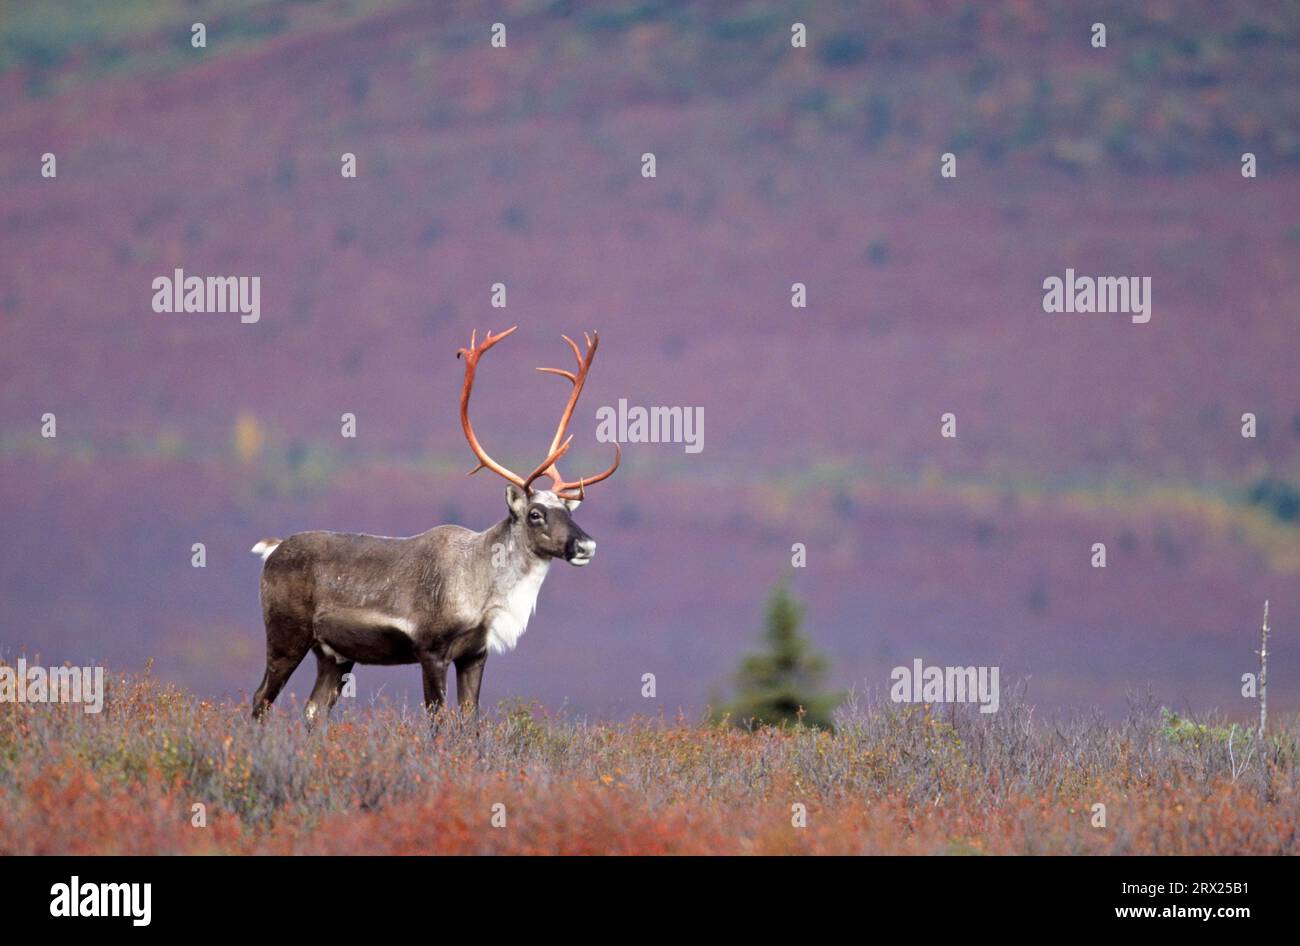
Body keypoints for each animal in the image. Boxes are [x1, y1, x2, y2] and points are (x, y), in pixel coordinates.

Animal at [248, 326, 619, 723]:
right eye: (535, 513)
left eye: (570, 511)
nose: (586, 545)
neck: (483, 585)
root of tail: (273, 548)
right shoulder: (431, 650)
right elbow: (438, 720)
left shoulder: (474, 654)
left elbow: (471, 722)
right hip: (287, 634)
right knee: (261, 698)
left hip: (335, 654)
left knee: (314, 709)